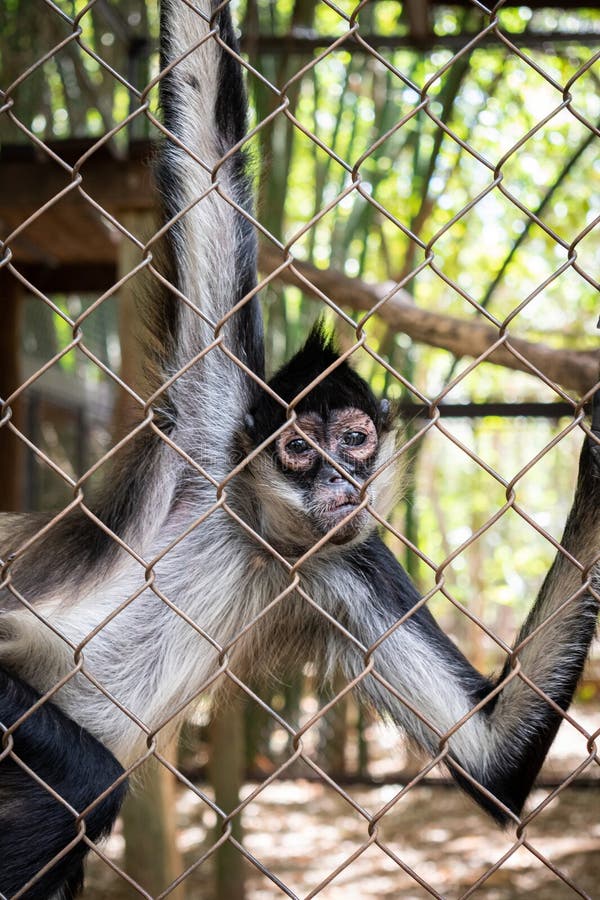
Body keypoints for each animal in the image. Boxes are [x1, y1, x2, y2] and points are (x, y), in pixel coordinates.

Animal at [0, 1, 598, 897]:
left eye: (354, 440)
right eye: (296, 450)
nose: (339, 479)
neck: (256, 534)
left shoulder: (343, 564)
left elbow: (491, 754)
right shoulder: (214, 424)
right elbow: (206, 125)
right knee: (85, 780)